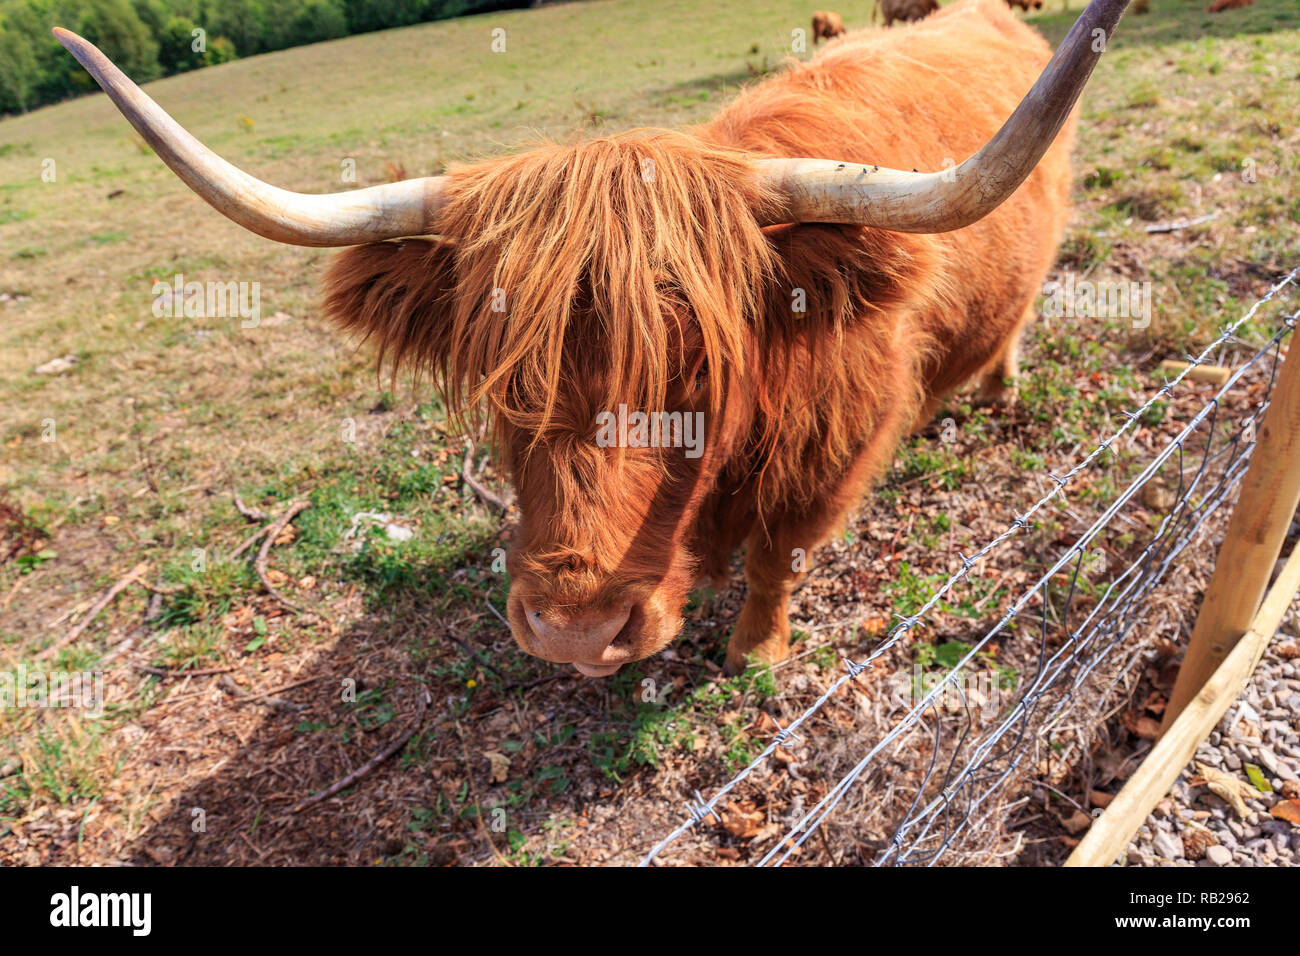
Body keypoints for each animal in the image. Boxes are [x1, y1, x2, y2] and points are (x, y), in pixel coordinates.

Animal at [56, 0, 1129, 678]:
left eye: (700, 369)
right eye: (501, 378)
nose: (575, 632)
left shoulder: (832, 460)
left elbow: (777, 559)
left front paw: (754, 653)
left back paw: (998, 393)